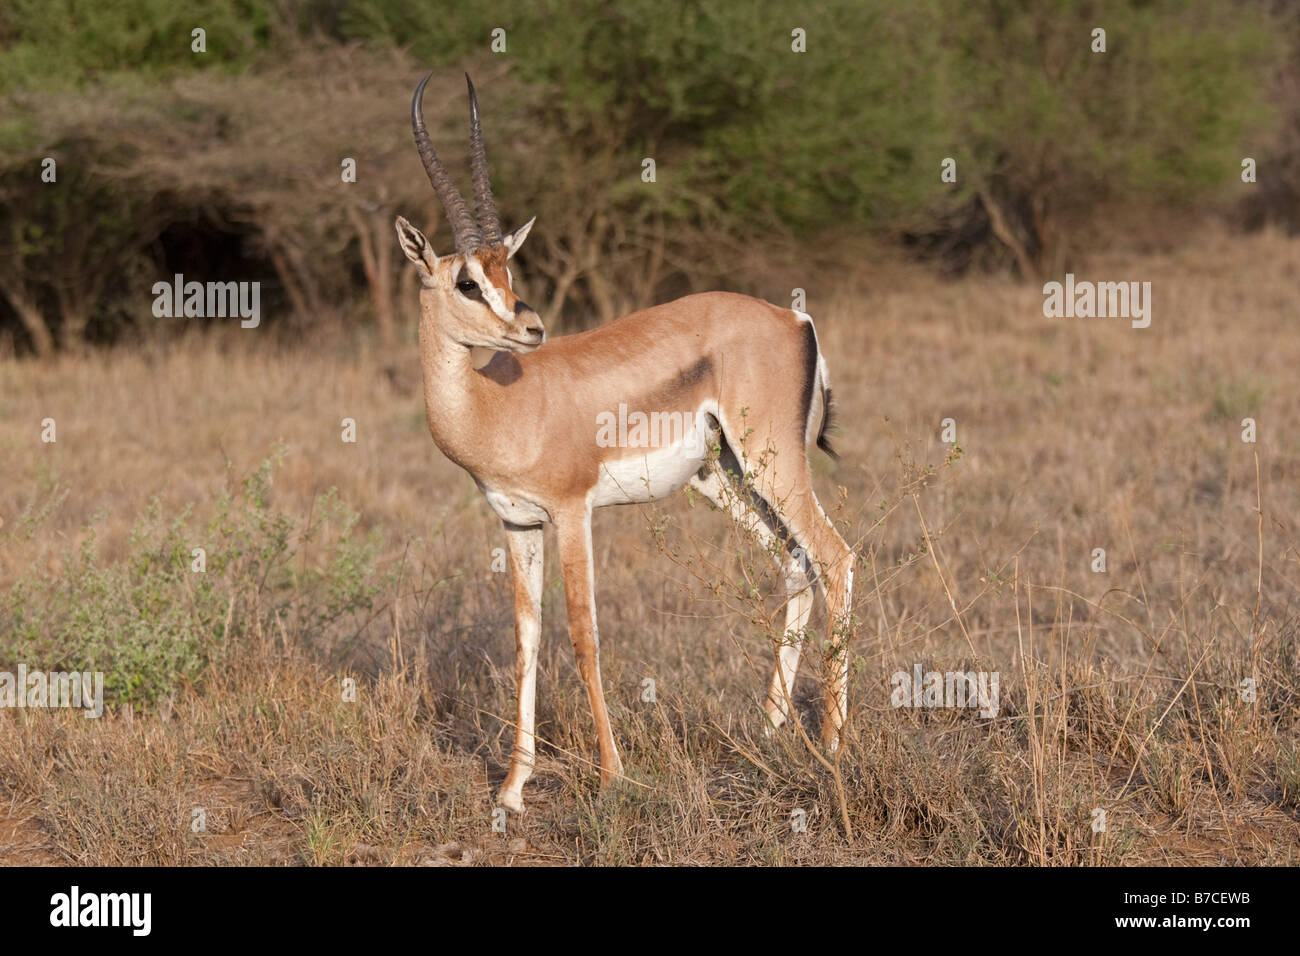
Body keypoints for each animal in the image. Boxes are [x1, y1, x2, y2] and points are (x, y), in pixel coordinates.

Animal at [395, 73, 856, 812]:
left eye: (507, 271)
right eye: (468, 280)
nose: (531, 328)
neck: (500, 405)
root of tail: (795, 319)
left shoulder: (571, 512)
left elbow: (584, 636)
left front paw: (612, 776)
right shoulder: (516, 522)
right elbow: (526, 641)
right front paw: (512, 790)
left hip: (774, 466)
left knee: (835, 558)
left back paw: (834, 746)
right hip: (725, 477)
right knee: (795, 566)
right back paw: (767, 733)